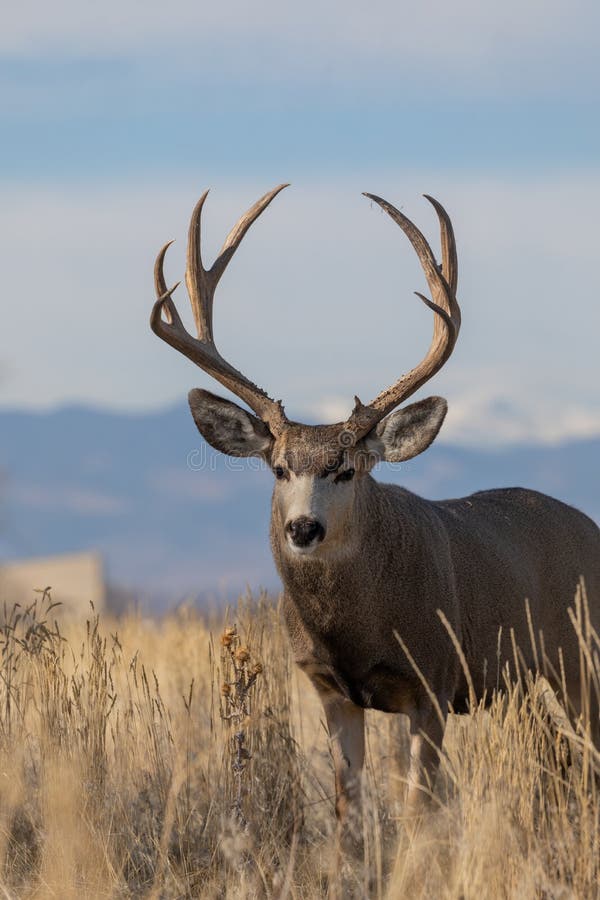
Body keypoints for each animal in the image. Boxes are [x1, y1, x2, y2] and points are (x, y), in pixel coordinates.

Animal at [151, 184, 600, 832]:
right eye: (279, 468)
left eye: (347, 469)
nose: (303, 527)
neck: (356, 630)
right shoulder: (332, 691)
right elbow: (349, 813)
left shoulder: (434, 681)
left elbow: (418, 809)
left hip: (579, 657)